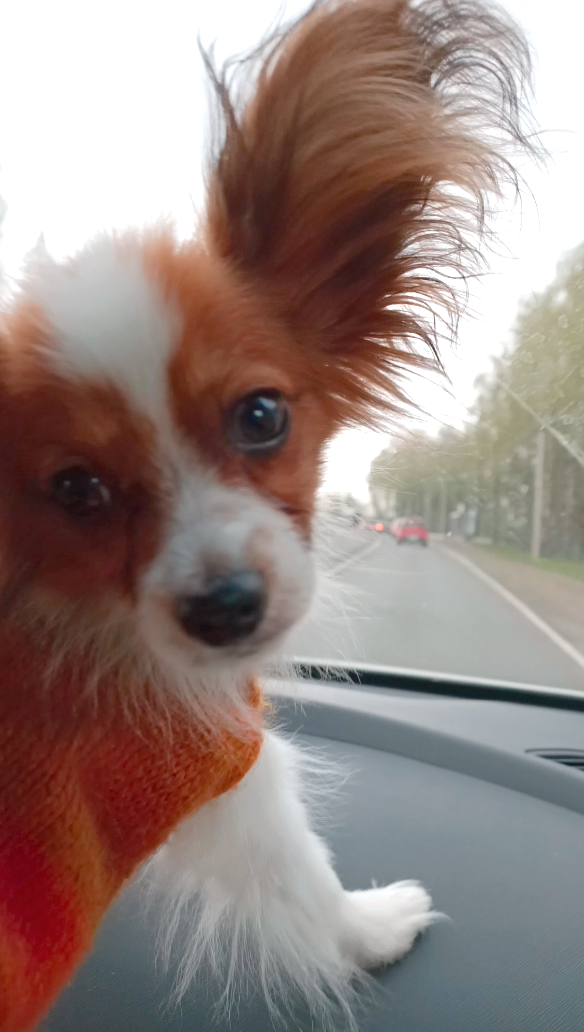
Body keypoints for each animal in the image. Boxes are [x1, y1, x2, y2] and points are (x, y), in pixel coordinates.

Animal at [0, 1, 533, 1028]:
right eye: (77, 489)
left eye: (261, 416)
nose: (226, 608)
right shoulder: (215, 768)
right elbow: (298, 872)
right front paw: (373, 928)